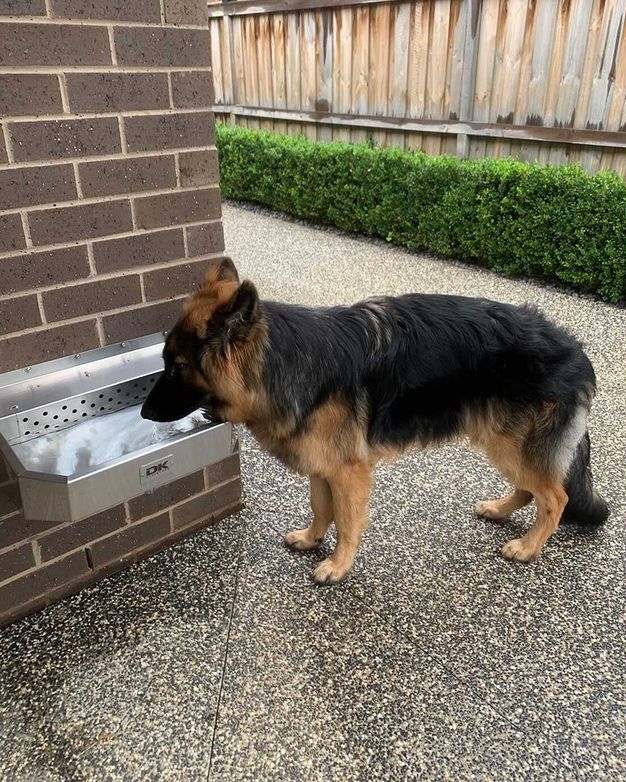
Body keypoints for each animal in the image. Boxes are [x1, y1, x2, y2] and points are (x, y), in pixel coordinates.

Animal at [140, 260, 604, 584]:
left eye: (177, 368)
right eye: (165, 362)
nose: (143, 414)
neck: (279, 362)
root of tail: (575, 348)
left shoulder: (349, 472)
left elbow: (347, 521)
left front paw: (337, 565)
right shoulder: (323, 464)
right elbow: (320, 506)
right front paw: (312, 539)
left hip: (511, 443)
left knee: (555, 497)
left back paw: (528, 547)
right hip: (504, 442)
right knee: (529, 488)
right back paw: (499, 510)